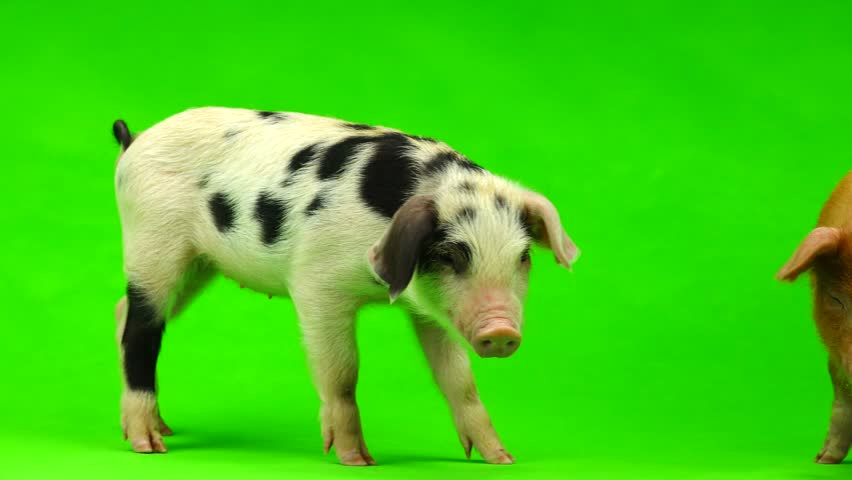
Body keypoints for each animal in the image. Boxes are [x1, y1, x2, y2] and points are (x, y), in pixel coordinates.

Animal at [112, 107, 580, 465]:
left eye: (523, 257)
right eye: (450, 255)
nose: (500, 331)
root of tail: (133, 141)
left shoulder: (429, 310)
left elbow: (458, 378)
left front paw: (501, 458)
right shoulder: (317, 285)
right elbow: (341, 372)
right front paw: (358, 460)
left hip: (199, 265)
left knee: (122, 310)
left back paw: (163, 428)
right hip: (152, 239)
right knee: (142, 330)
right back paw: (149, 445)